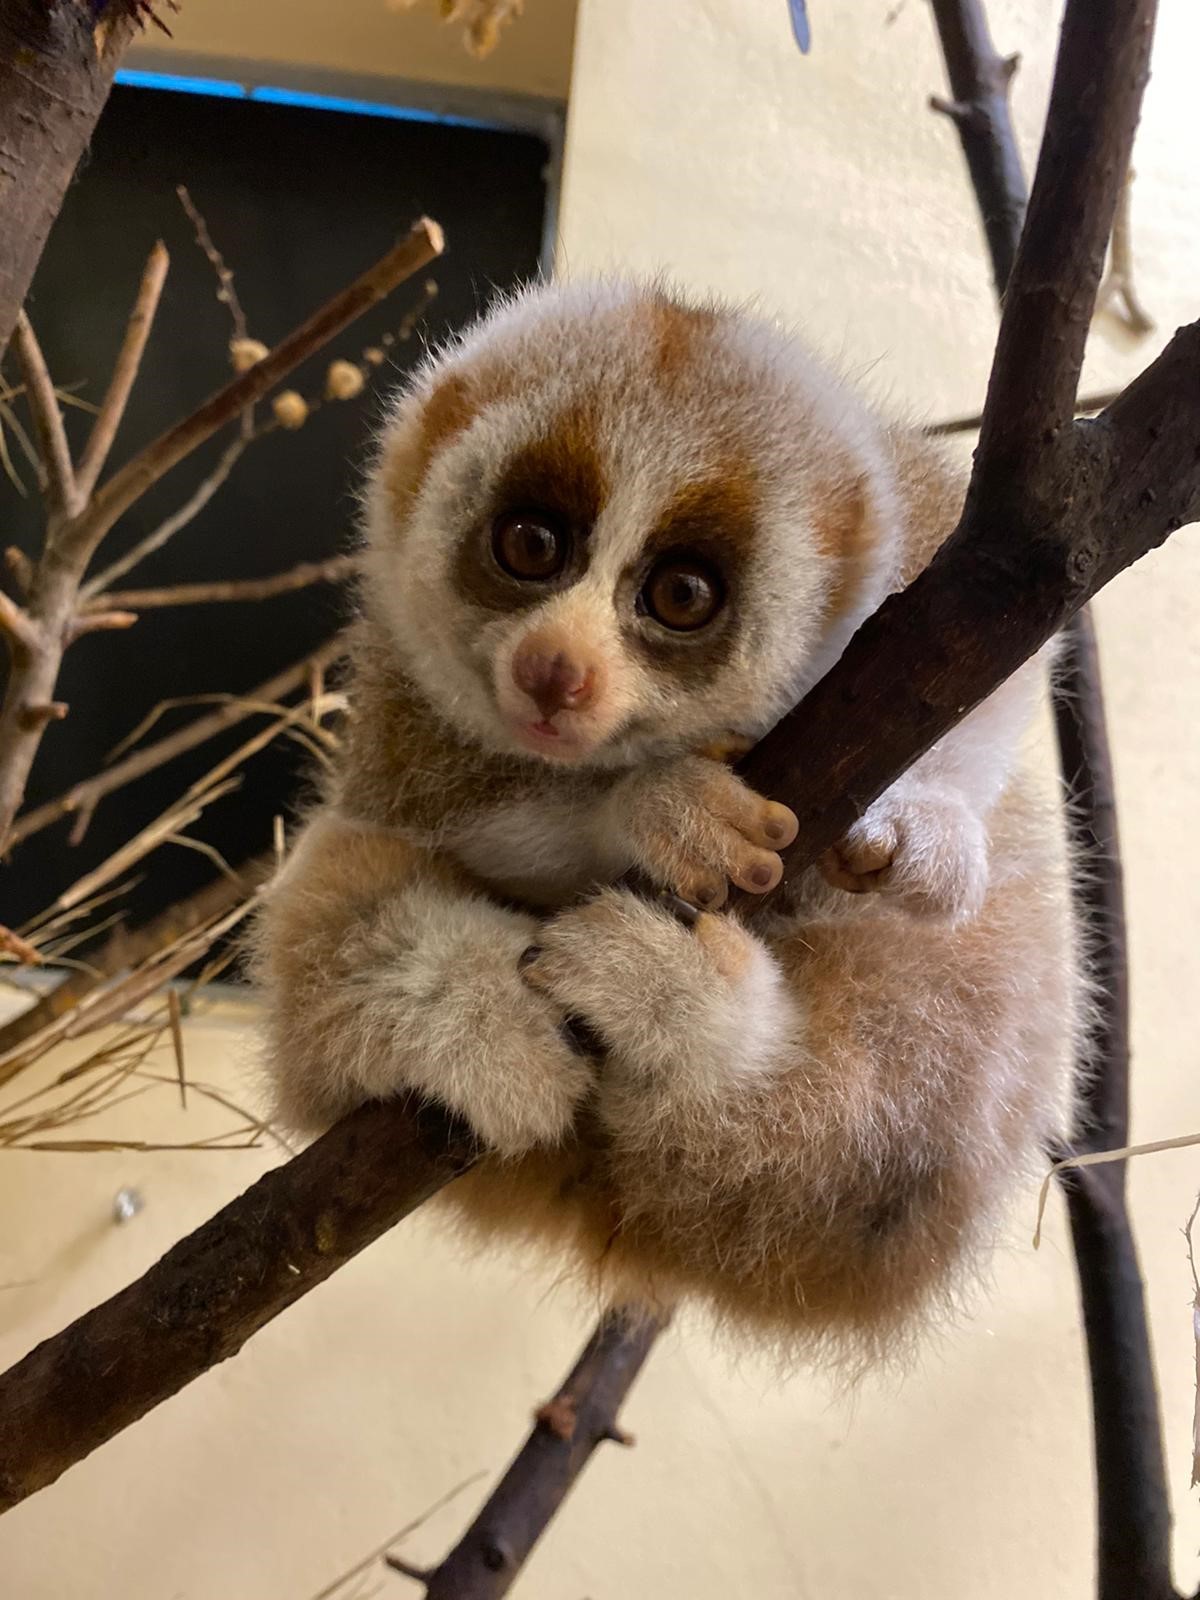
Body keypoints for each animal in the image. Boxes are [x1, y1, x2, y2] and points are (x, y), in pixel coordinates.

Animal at [251, 280, 1079, 1363]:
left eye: (682, 595)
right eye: (530, 544)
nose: (556, 670)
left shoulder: (944, 556)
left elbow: (998, 687)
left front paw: (913, 829)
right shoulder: (402, 716)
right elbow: (455, 820)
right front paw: (657, 807)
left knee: (905, 1163)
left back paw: (699, 1026)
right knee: (327, 902)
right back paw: (506, 1020)